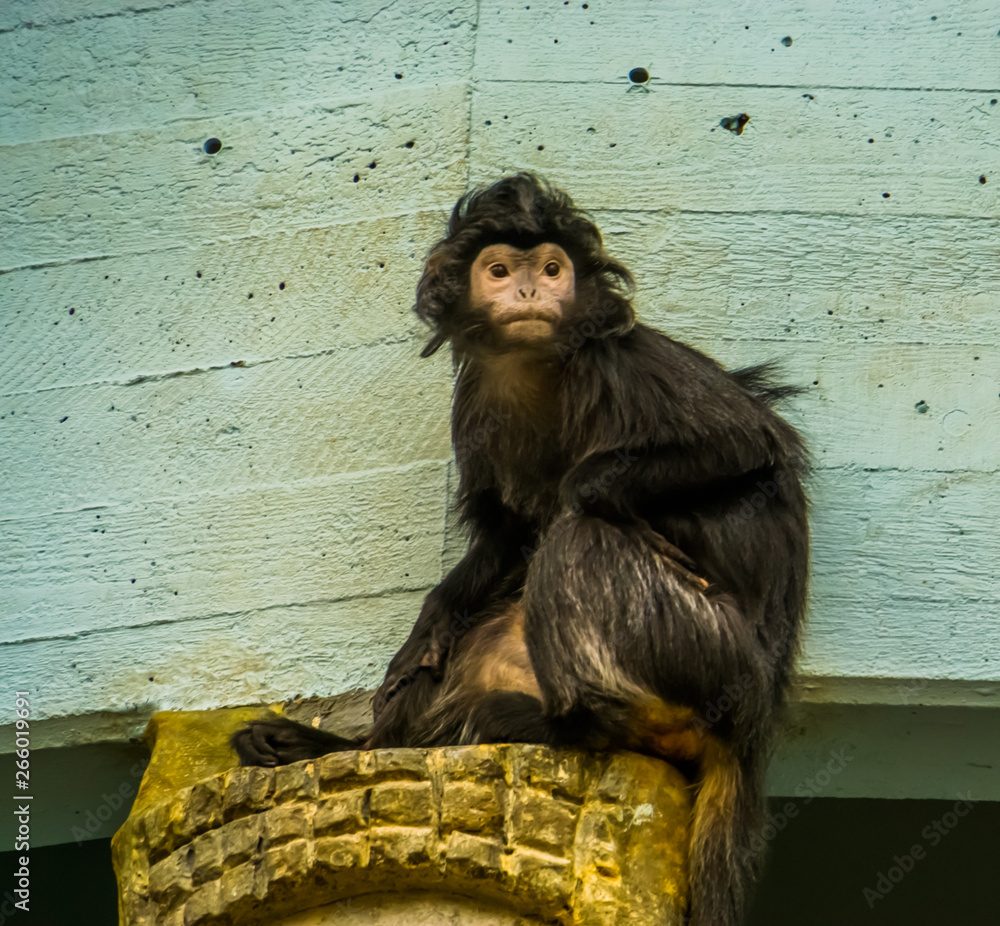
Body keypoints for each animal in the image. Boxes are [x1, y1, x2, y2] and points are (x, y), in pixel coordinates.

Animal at [234, 174, 809, 926]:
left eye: (554, 269)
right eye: (501, 271)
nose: (533, 291)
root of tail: (755, 721)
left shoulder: (619, 356)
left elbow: (747, 443)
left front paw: (578, 489)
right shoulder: (477, 390)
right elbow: (499, 542)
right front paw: (427, 626)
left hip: (709, 657)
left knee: (580, 540)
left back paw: (572, 725)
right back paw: (331, 744)